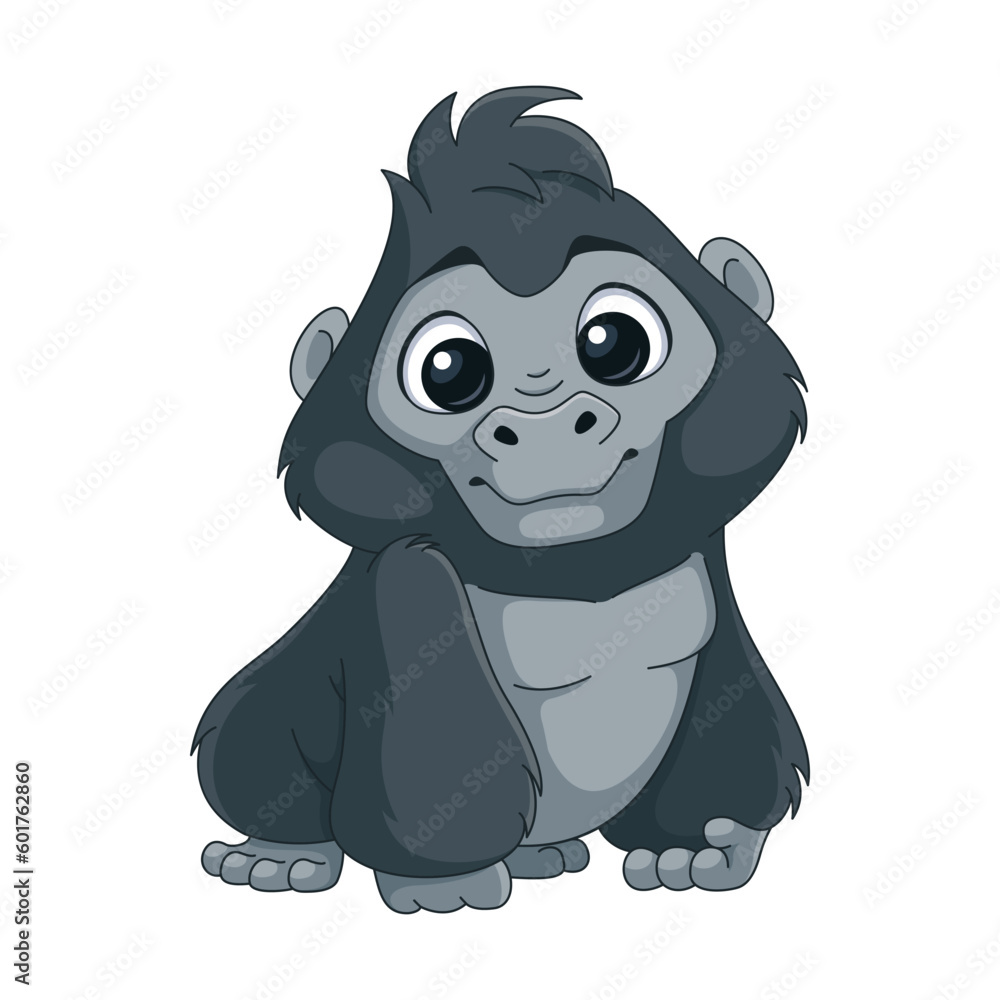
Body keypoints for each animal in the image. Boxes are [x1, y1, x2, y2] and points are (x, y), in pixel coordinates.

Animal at [192, 86, 809, 913]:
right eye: (449, 370)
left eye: (615, 342)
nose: (545, 421)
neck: (576, 582)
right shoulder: (407, 586)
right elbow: (434, 751)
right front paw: (442, 884)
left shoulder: (702, 550)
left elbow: (732, 706)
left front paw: (698, 845)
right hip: (254, 728)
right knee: (250, 756)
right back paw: (282, 856)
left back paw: (542, 856)